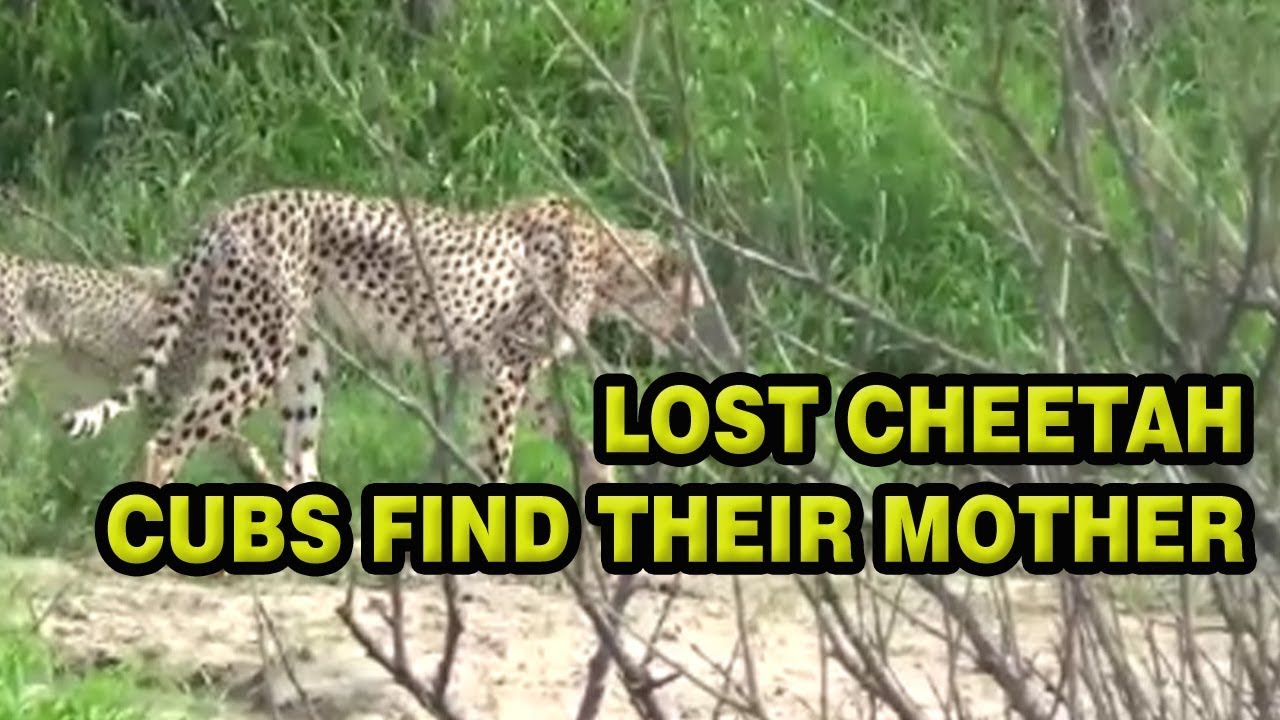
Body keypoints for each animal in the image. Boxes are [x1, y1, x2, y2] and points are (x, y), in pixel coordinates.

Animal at [60, 187, 706, 488]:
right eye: (690, 294)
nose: (697, 322)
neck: (610, 261)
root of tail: (233, 209)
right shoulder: (505, 368)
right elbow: (496, 452)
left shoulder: (523, 371)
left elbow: (580, 444)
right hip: (258, 352)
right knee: (165, 440)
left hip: (303, 358)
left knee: (297, 454)